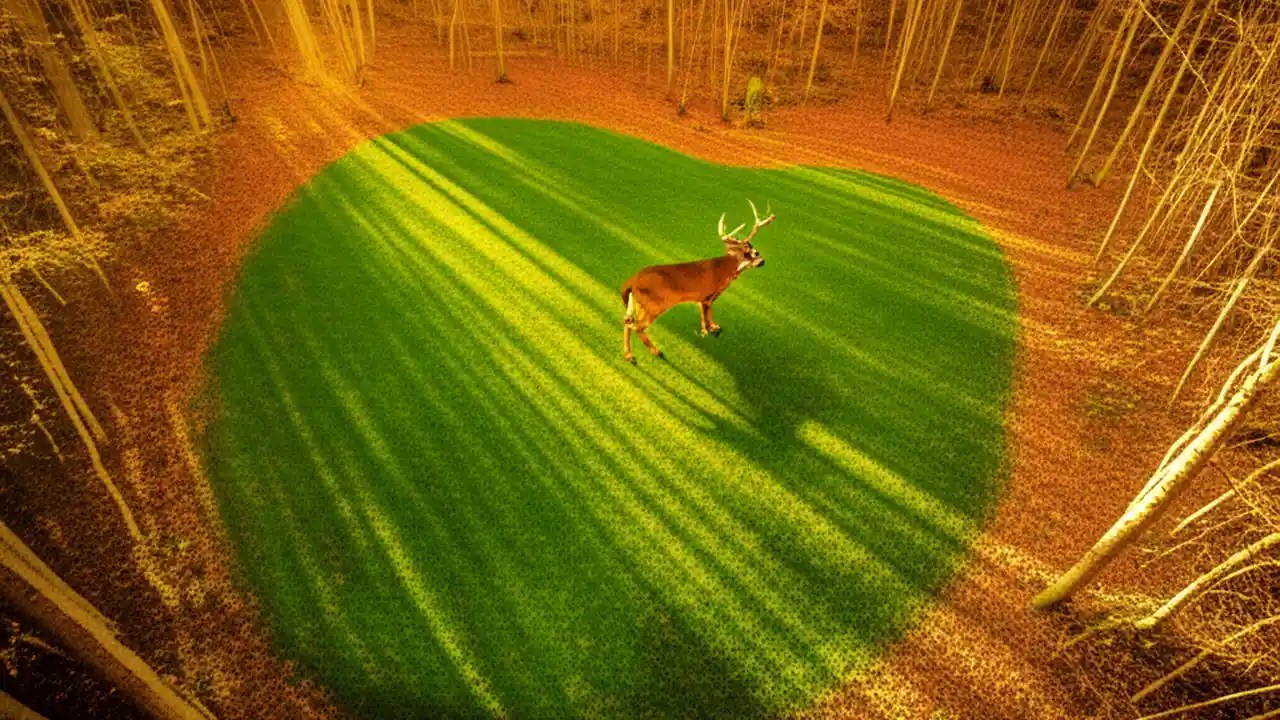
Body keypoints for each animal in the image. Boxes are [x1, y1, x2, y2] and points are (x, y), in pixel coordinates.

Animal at [619, 199, 775, 364]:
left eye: (755, 250)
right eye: (749, 253)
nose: (762, 261)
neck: (723, 271)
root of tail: (630, 282)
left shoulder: (704, 297)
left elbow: (704, 312)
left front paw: (712, 327)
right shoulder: (708, 294)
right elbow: (706, 311)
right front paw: (709, 330)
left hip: (635, 302)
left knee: (627, 320)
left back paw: (629, 355)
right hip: (654, 305)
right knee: (637, 326)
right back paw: (656, 351)